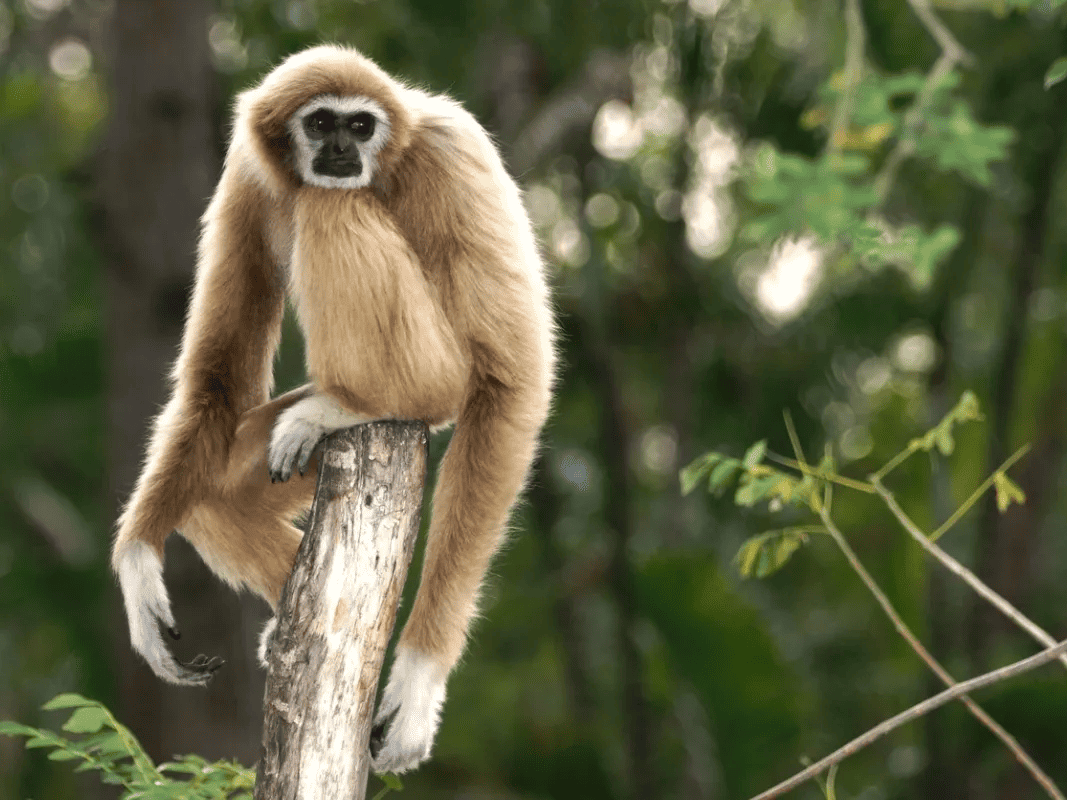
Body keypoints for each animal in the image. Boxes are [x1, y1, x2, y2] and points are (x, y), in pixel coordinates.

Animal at [110, 44, 555, 774]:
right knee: (208, 499)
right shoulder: (246, 173)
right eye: (319, 123)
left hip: (434, 363)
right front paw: (138, 563)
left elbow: (511, 382)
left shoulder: (454, 150)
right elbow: (217, 380)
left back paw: (349, 404)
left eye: (360, 124)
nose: (342, 148)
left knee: (329, 210)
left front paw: (419, 679)